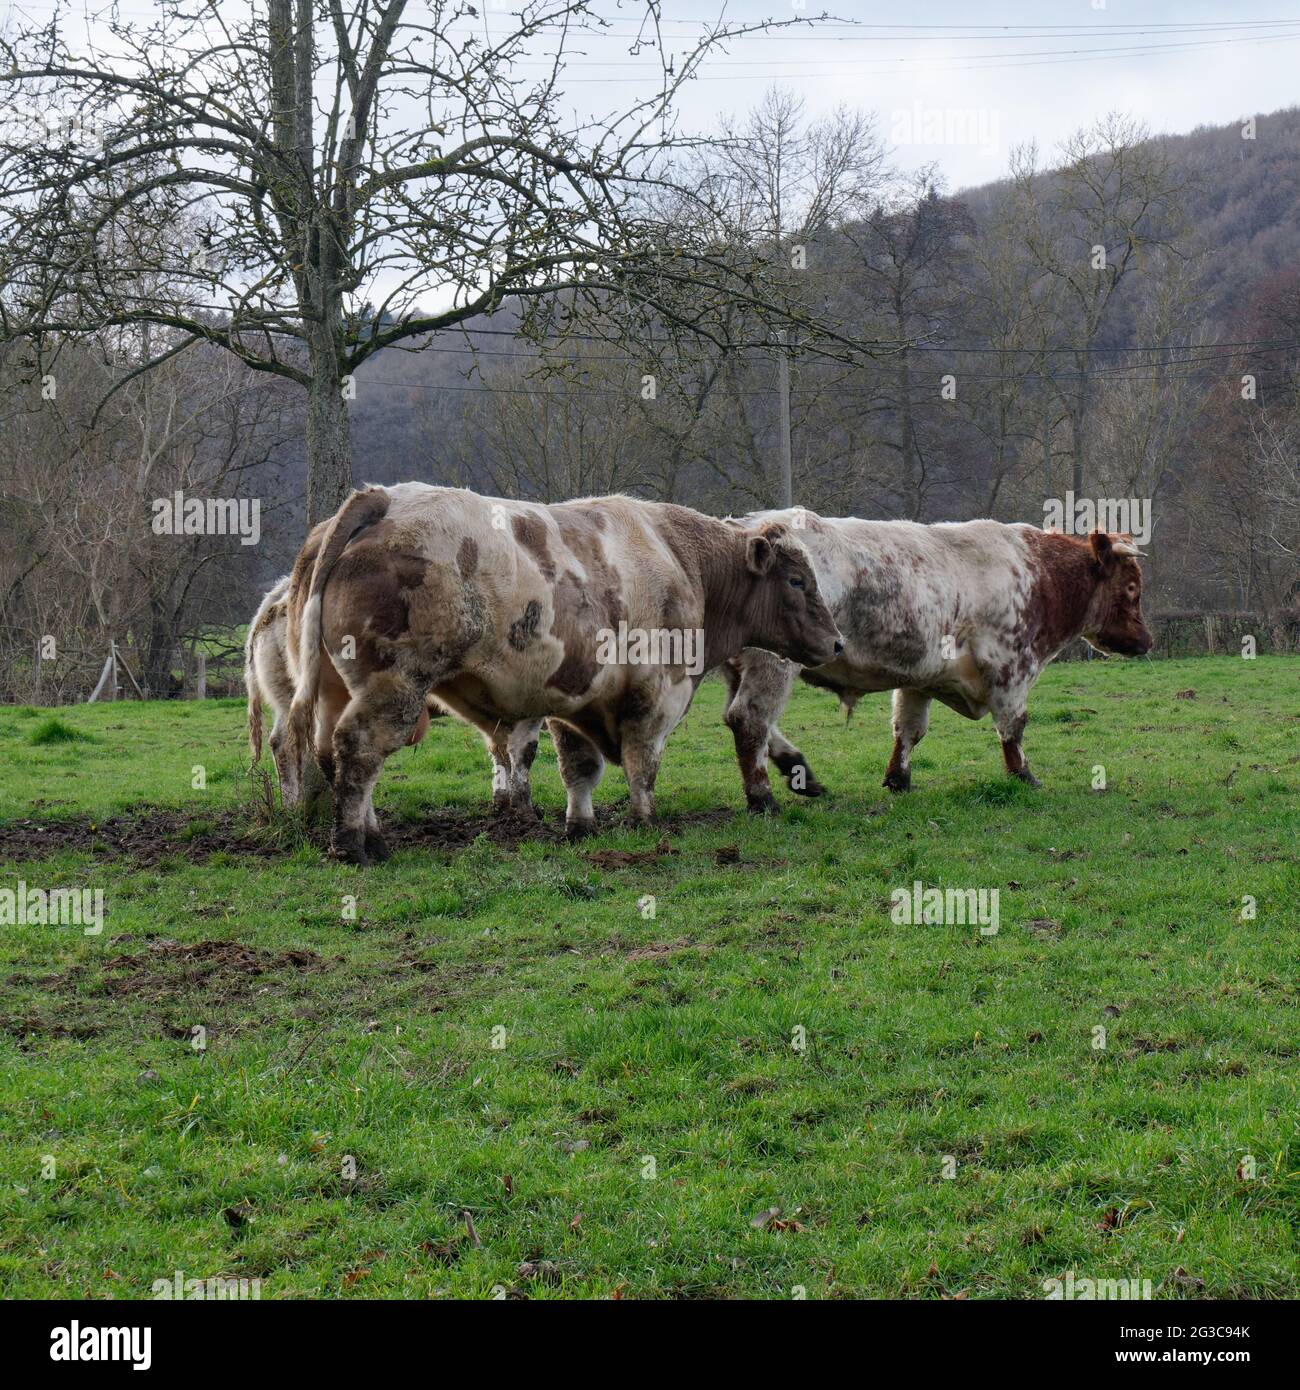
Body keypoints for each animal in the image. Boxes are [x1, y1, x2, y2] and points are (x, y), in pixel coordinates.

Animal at [282, 484, 844, 863]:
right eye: (797, 580)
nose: (837, 642)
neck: (682, 561)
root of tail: (384, 498)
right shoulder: (656, 693)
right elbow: (642, 764)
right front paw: (645, 822)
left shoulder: (576, 697)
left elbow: (580, 768)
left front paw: (581, 827)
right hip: (395, 685)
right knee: (360, 749)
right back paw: (353, 846)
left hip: (336, 687)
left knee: (333, 753)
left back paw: (373, 837)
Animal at [720, 513, 1152, 810]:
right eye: (1132, 587)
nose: (1146, 641)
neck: (1038, 574)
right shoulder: (1010, 668)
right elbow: (1013, 727)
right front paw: (1023, 776)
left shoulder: (919, 677)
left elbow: (909, 730)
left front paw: (898, 779)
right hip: (773, 664)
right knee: (750, 719)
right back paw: (762, 798)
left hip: (740, 668)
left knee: (745, 719)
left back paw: (801, 772)